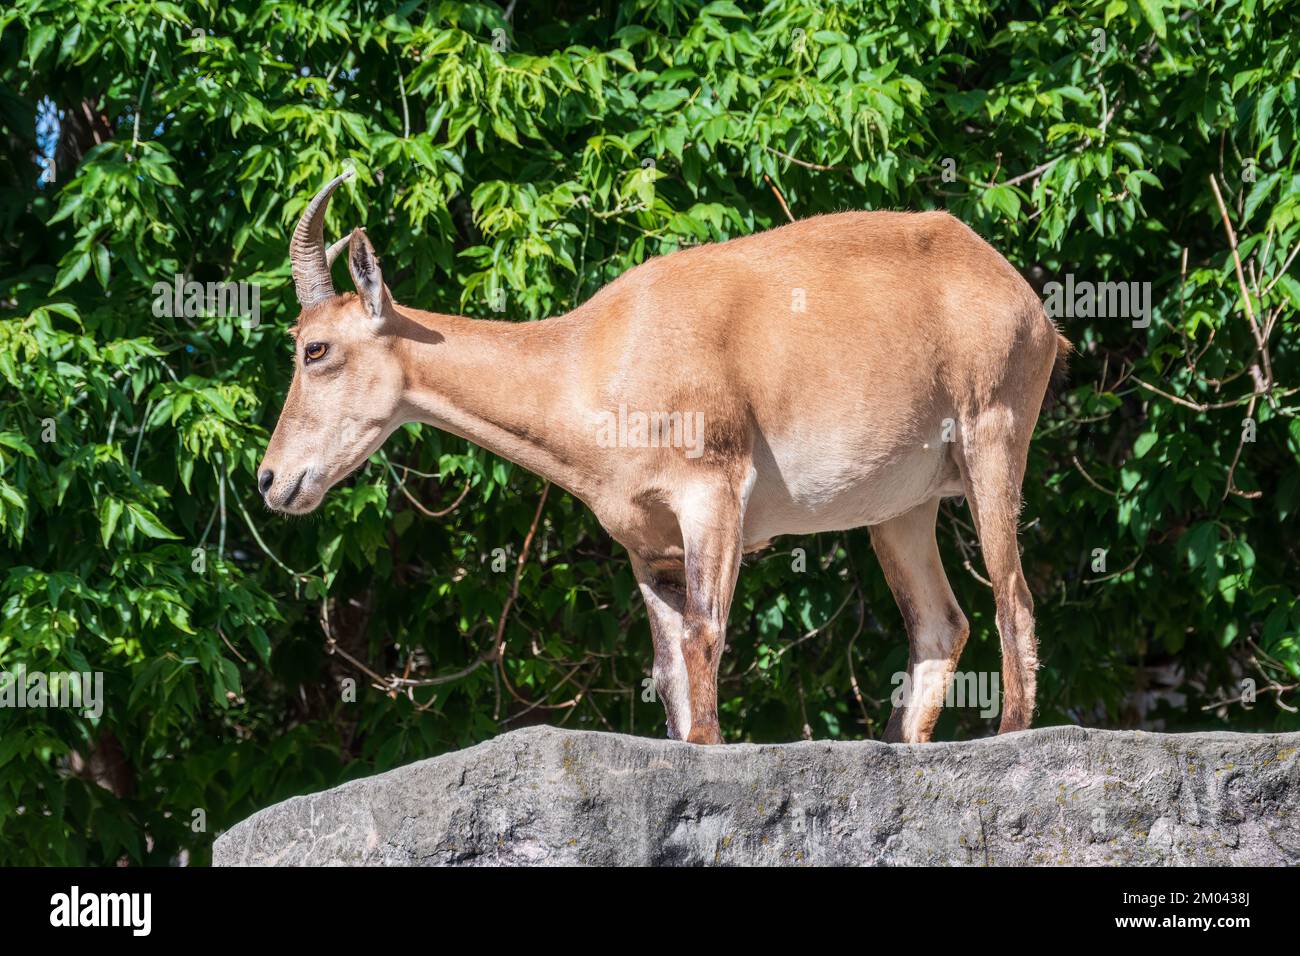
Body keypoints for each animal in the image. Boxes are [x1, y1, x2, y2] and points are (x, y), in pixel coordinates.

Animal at [259, 170, 1070, 744]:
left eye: (314, 348)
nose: (272, 480)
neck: (593, 355)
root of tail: (1026, 301)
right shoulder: (648, 546)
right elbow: (671, 667)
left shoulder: (712, 495)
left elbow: (707, 634)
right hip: (904, 508)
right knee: (940, 622)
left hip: (992, 439)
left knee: (1013, 594)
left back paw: (1009, 735)